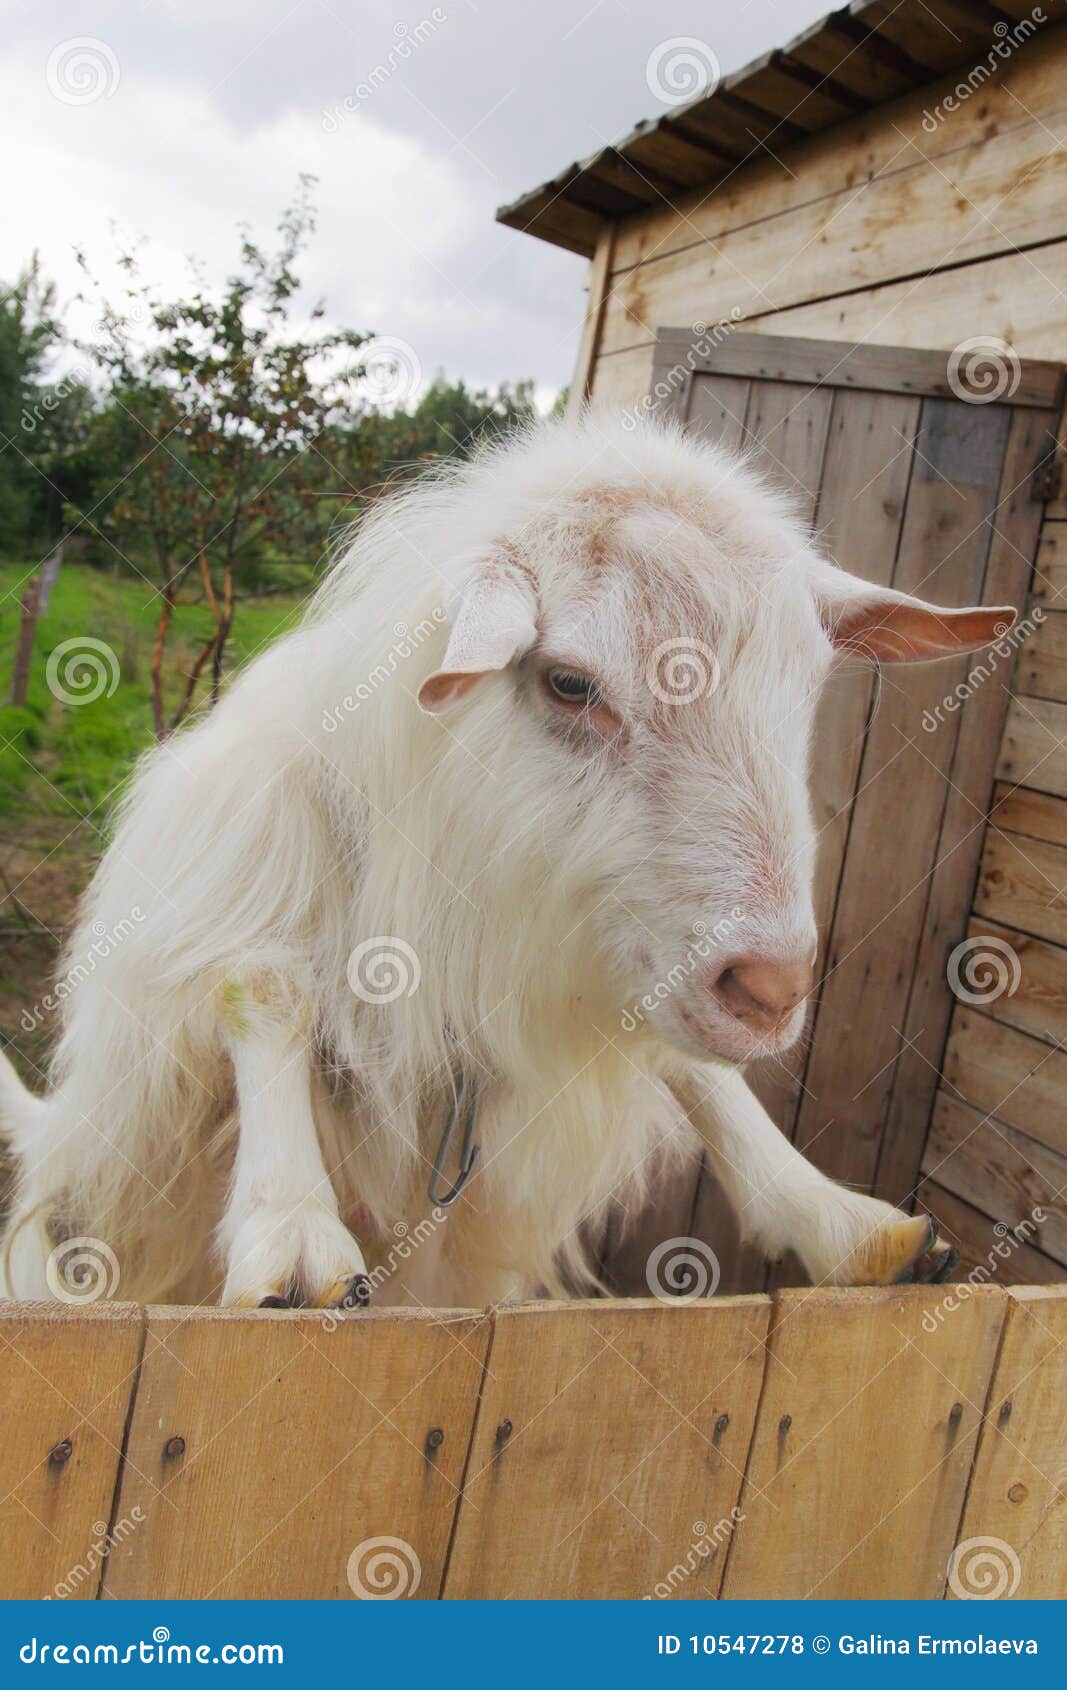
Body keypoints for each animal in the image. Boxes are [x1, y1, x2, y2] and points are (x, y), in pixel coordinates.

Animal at [0, 413, 1010, 1309]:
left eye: (808, 684)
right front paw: (290, 1234)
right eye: (569, 682)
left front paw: (844, 1222)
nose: (770, 988)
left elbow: (692, 1067)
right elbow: (261, 988)